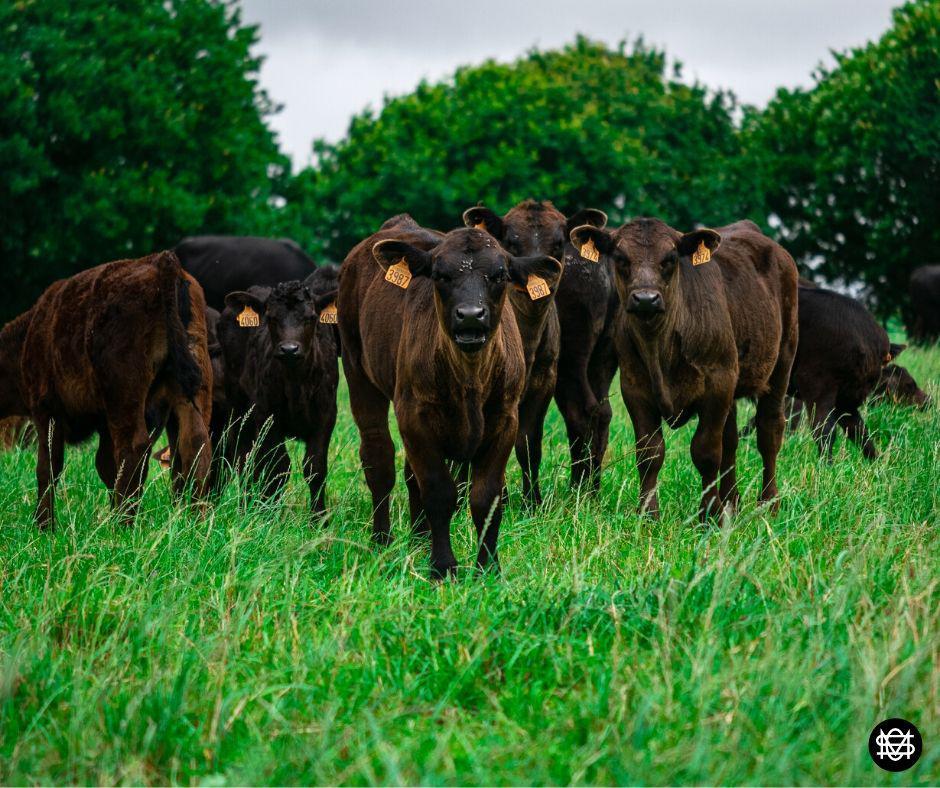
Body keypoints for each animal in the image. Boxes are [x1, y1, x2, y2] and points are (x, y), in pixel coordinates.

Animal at [0, 251, 212, 529]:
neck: (28, 336)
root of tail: (161, 262)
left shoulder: (46, 409)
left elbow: (48, 466)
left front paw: (44, 525)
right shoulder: (104, 422)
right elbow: (105, 464)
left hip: (124, 395)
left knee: (134, 448)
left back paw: (122, 524)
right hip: (190, 390)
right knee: (195, 444)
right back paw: (196, 521)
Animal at [217, 267, 339, 518]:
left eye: (311, 318)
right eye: (271, 318)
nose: (289, 349)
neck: (296, 384)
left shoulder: (326, 415)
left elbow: (316, 468)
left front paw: (319, 519)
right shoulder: (267, 416)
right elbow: (278, 468)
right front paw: (271, 515)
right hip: (239, 411)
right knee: (245, 460)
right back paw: (247, 507)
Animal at [338, 217, 561, 577]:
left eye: (499, 275)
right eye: (441, 275)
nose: (470, 315)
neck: (469, 379)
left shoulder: (505, 420)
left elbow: (485, 497)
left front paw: (488, 566)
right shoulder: (414, 416)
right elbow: (439, 492)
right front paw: (443, 566)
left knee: (409, 474)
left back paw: (418, 538)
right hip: (357, 371)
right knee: (379, 459)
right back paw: (382, 540)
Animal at [463, 200, 609, 501]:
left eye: (558, 243)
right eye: (511, 243)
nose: (540, 273)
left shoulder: (544, 381)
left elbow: (529, 444)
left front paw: (532, 501)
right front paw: (500, 497)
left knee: (589, 412)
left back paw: (586, 490)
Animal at [569, 218, 798, 520]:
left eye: (670, 258)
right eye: (620, 258)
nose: (646, 299)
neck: (659, 347)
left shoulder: (717, 385)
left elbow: (706, 451)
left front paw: (709, 515)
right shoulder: (634, 387)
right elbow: (650, 452)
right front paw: (648, 513)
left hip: (781, 362)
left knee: (769, 432)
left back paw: (769, 504)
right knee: (731, 441)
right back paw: (732, 502)